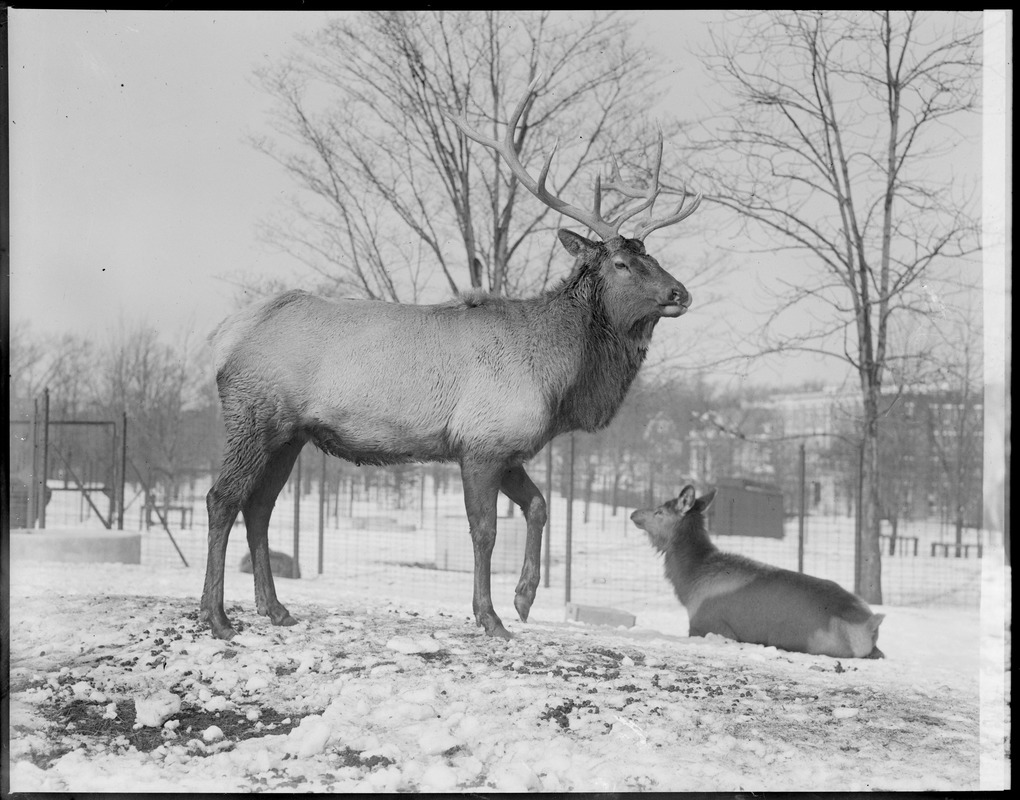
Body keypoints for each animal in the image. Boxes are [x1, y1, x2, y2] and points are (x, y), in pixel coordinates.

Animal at [200, 76, 702, 641]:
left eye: (652, 255)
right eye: (620, 262)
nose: (681, 293)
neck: (558, 384)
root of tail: (223, 337)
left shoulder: (509, 449)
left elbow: (540, 507)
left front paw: (524, 598)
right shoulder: (479, 442)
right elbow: (484, 531)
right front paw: (490, 617)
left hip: (289, 434)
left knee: (260, 506)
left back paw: (275, 608)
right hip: (254, 414)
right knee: (222, 498)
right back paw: (217, 616)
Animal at [631, 485, 885, 659]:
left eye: (659, 511)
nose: (634, 513)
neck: (689, 582)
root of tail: (868, 625)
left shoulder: (710, 627)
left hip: (804, 641)